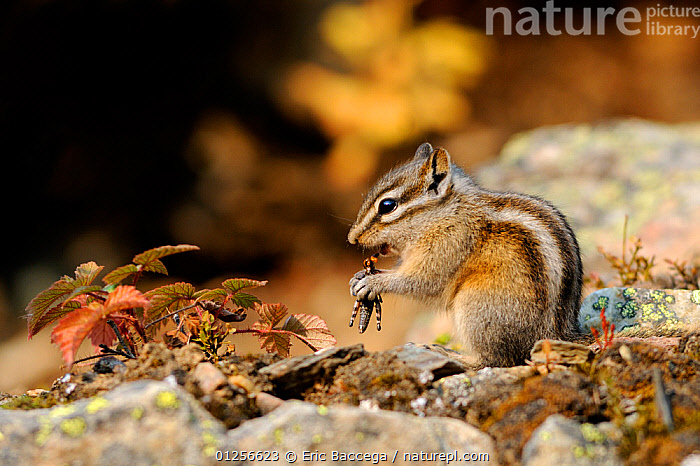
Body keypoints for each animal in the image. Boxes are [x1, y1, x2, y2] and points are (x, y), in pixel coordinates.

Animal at [348, 143, 583, 367]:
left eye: (387, 206)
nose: (352, 238)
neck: (445, 215)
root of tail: (555, 335)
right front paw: (359, 276)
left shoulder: (448, 247)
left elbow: (422, 282)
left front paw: (374, 282)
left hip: (476, 307)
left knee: (494, 361)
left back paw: (449, 354)